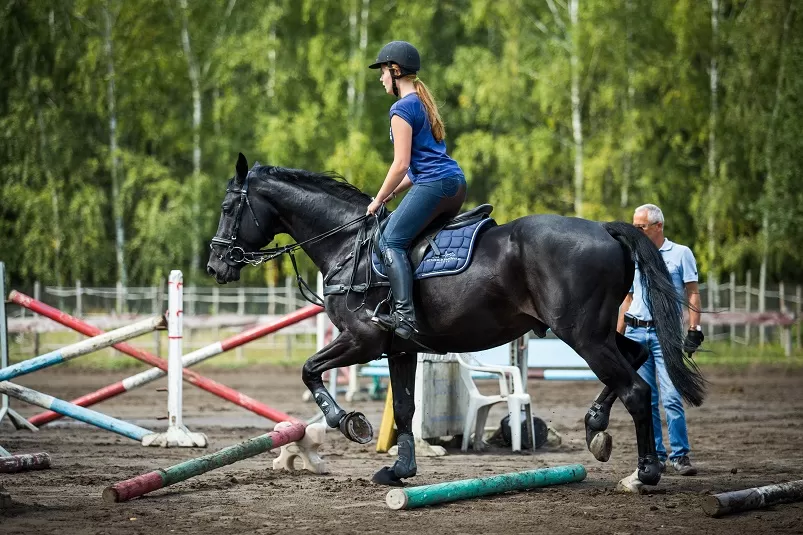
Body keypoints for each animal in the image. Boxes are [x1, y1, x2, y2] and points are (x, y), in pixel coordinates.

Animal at [207, 153, 704, 492]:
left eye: (230, 207)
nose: (215, 265)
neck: (349, 245)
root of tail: (603, 228)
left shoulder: (363, 339)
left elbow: (309, 369)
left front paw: (348, 422)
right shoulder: (398, 348)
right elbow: (405, 410)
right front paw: (399, 470)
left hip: (582, 335)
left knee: (635, 389)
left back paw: (644, 473)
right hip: (599, 332)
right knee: (635, 357)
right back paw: (596, 426)